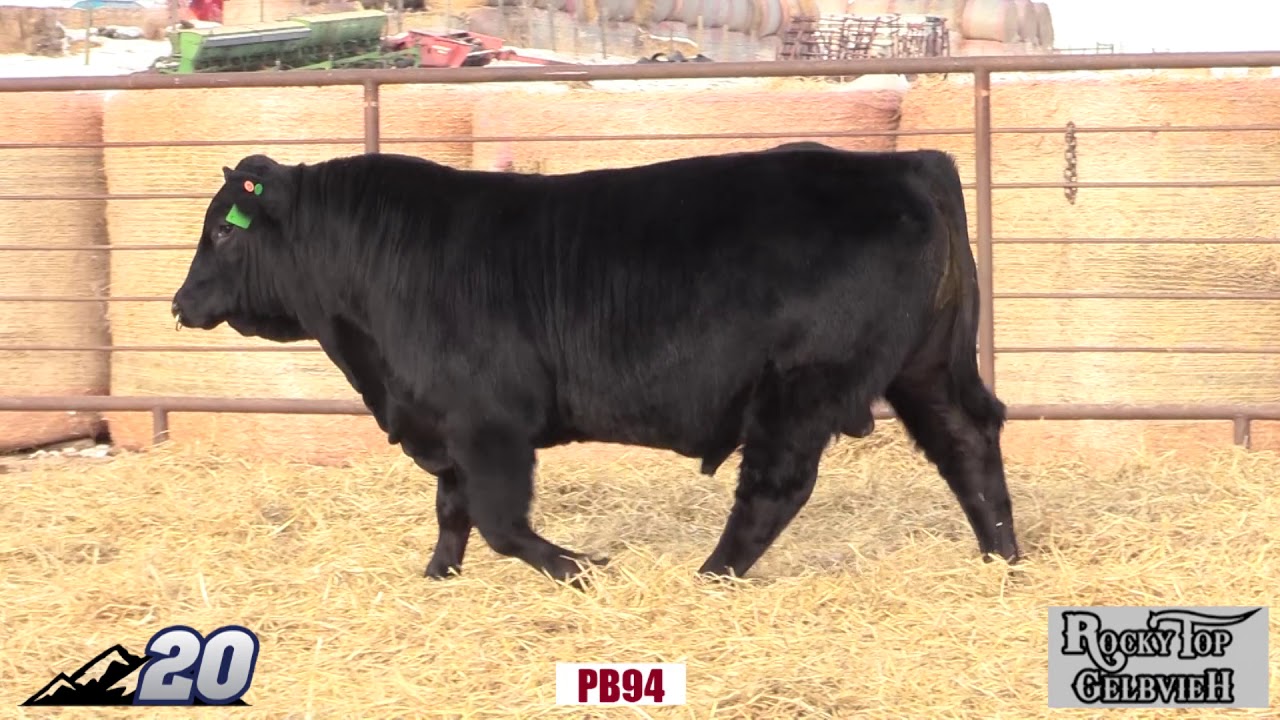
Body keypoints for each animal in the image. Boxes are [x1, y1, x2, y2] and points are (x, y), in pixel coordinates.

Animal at [170, 144, 1021, 587]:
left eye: (222, 231)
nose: (179, 303)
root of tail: (898, 162)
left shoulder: (488, 425)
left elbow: (501, 521)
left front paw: (583, 567)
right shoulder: (444, 422)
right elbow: (453, 512)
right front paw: (438, 576)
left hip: (801, 388)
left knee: (774, 488)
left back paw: (712, 574)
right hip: (926, 369)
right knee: (969, 444)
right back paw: (1003, 557)